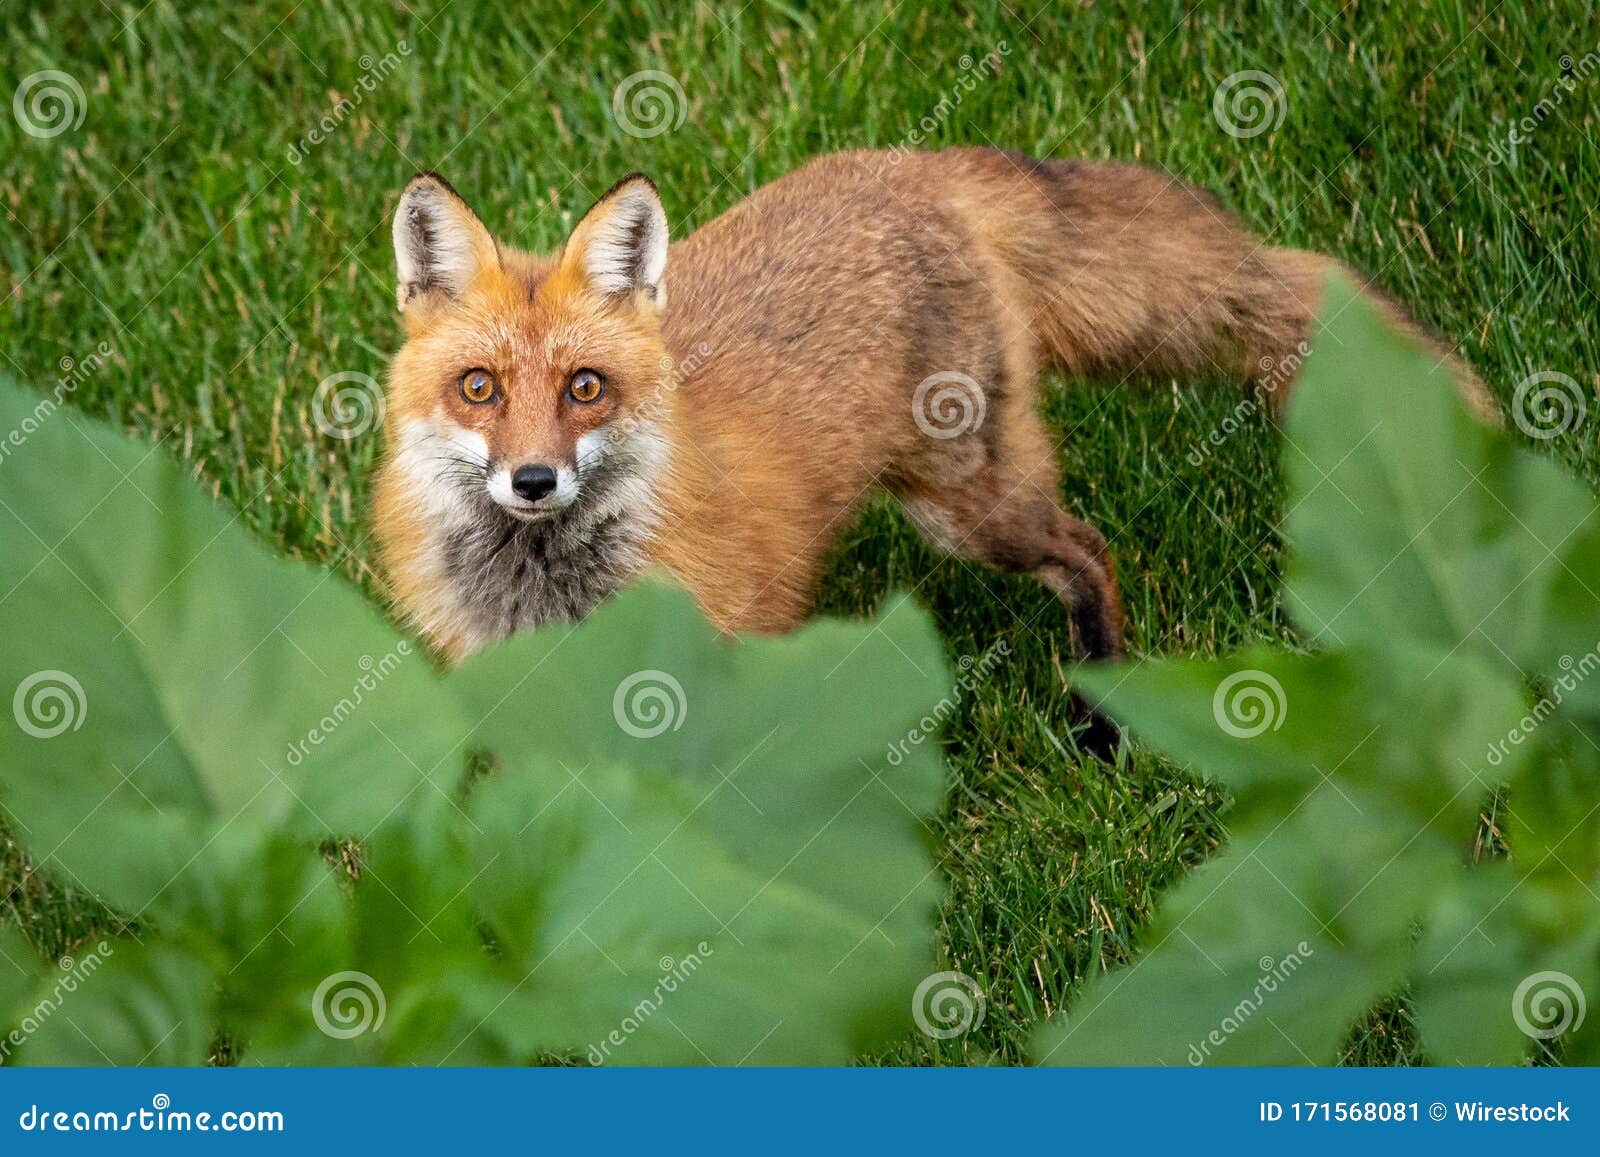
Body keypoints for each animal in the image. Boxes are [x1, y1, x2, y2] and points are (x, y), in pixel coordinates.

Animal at [372, 146, 1498, 668]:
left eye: (584, 388)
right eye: (479, 388)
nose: (533, 479)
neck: (550, 599)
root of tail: (921, 164)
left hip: (969, 507)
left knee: (1087, 553)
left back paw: (1106, 719)